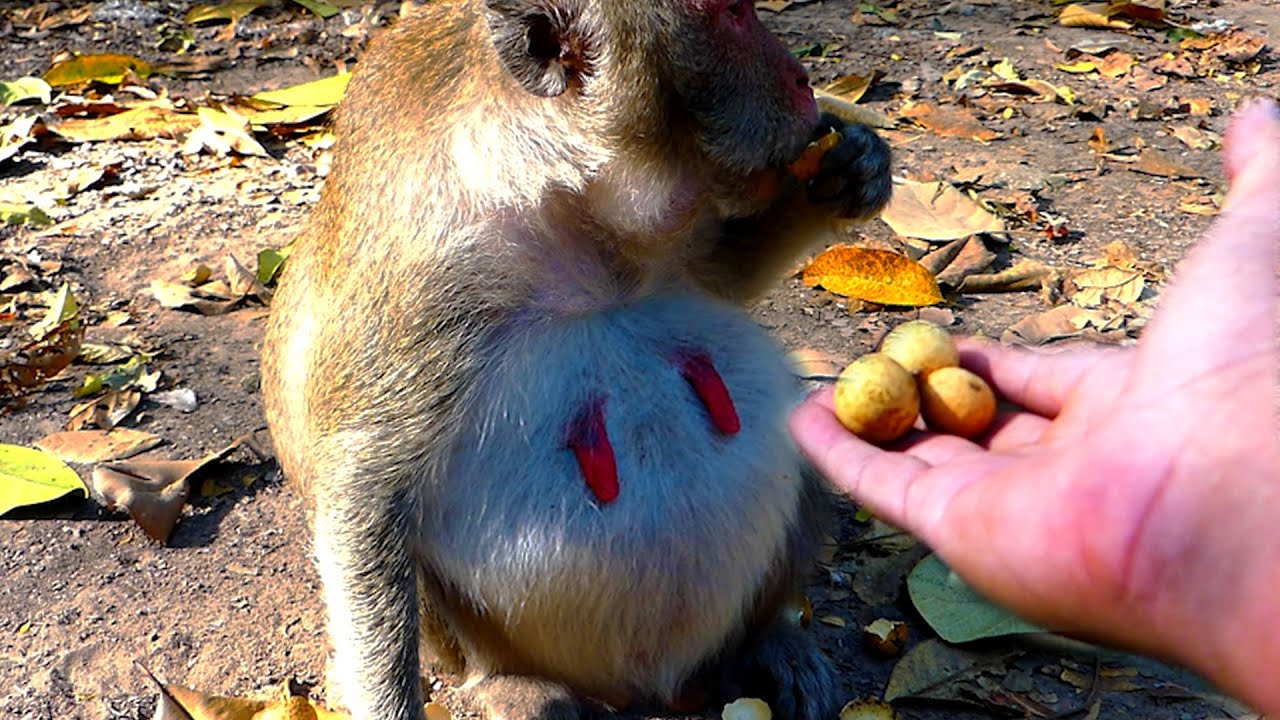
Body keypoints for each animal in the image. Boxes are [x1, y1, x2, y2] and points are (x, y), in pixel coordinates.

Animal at [260, 1, 891, 720]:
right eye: (728, 15)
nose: (801, 79)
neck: (560, 208)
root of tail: (658, 686)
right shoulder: (420, 290)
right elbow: (361, 496)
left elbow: (727, 276)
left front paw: (855, 167)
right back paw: (509, 685)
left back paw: (763, 642)